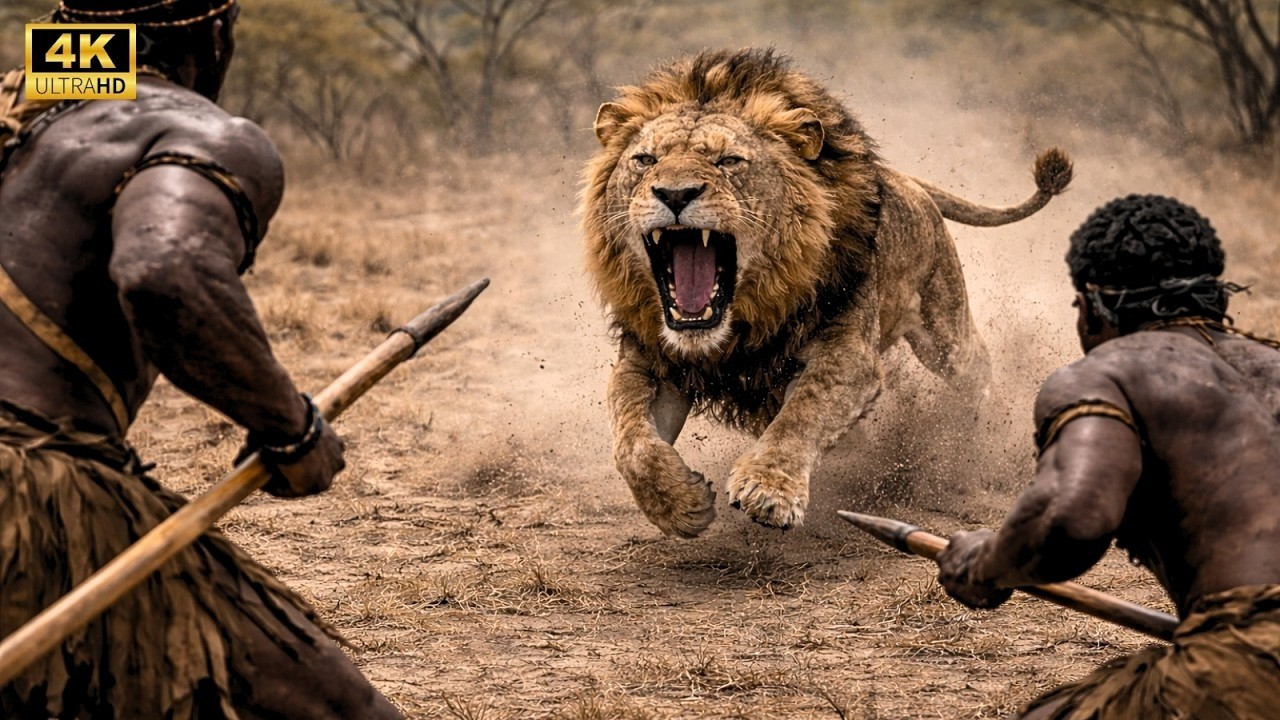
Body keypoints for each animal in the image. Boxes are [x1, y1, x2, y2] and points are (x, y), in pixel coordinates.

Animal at [580, 49, 1072, 538]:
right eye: (645, 160)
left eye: (729, 161)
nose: (675, 193)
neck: (741, 322)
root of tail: (908, 181)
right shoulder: (647, 360)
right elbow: (631, 442)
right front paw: (680, 505)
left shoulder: (848, 356)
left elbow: (801, 415)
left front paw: (769, 489)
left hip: (943, 332)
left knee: (976, 370)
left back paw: (974, 440)